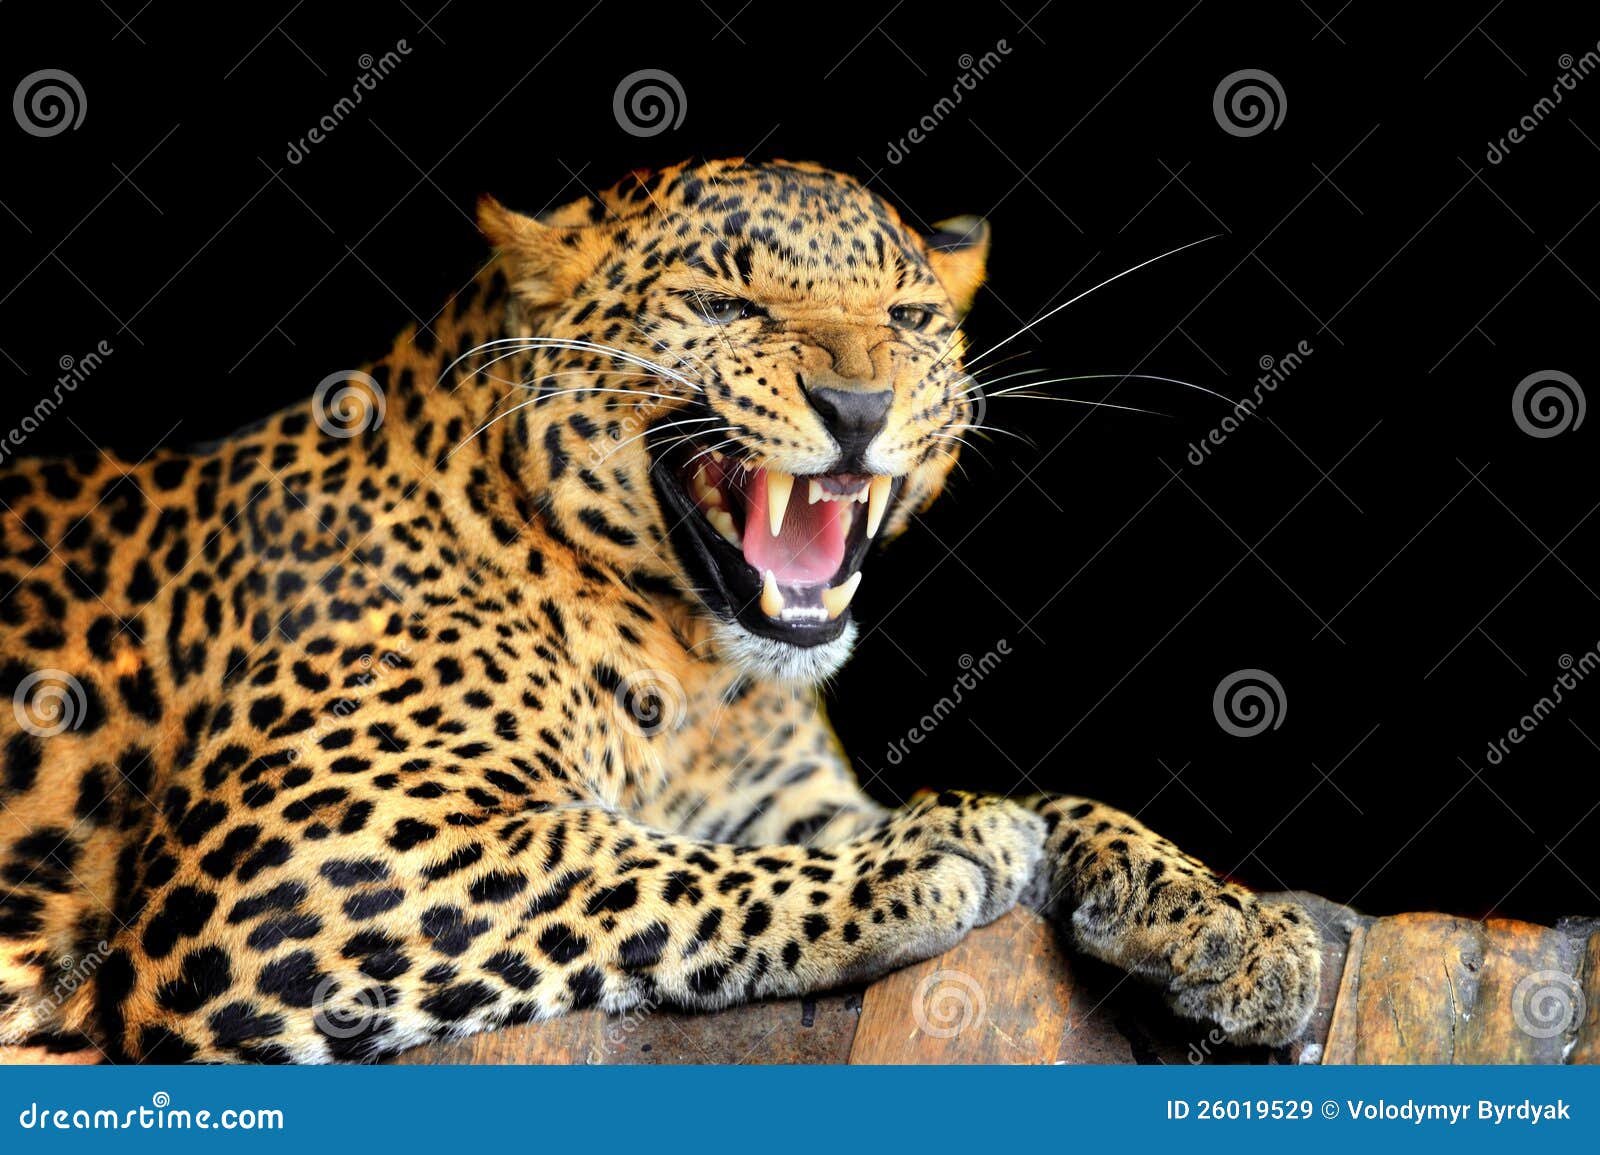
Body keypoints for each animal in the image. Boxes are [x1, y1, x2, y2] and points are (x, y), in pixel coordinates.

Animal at [0, 158, 1319, 1063]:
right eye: (725, 305)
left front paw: (1232, 922)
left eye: (908, 319)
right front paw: (930, 853)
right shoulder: (297, 863)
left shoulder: (785, 798)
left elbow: (1063, 805)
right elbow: (625, 867)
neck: (691, 672)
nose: (858, 406)